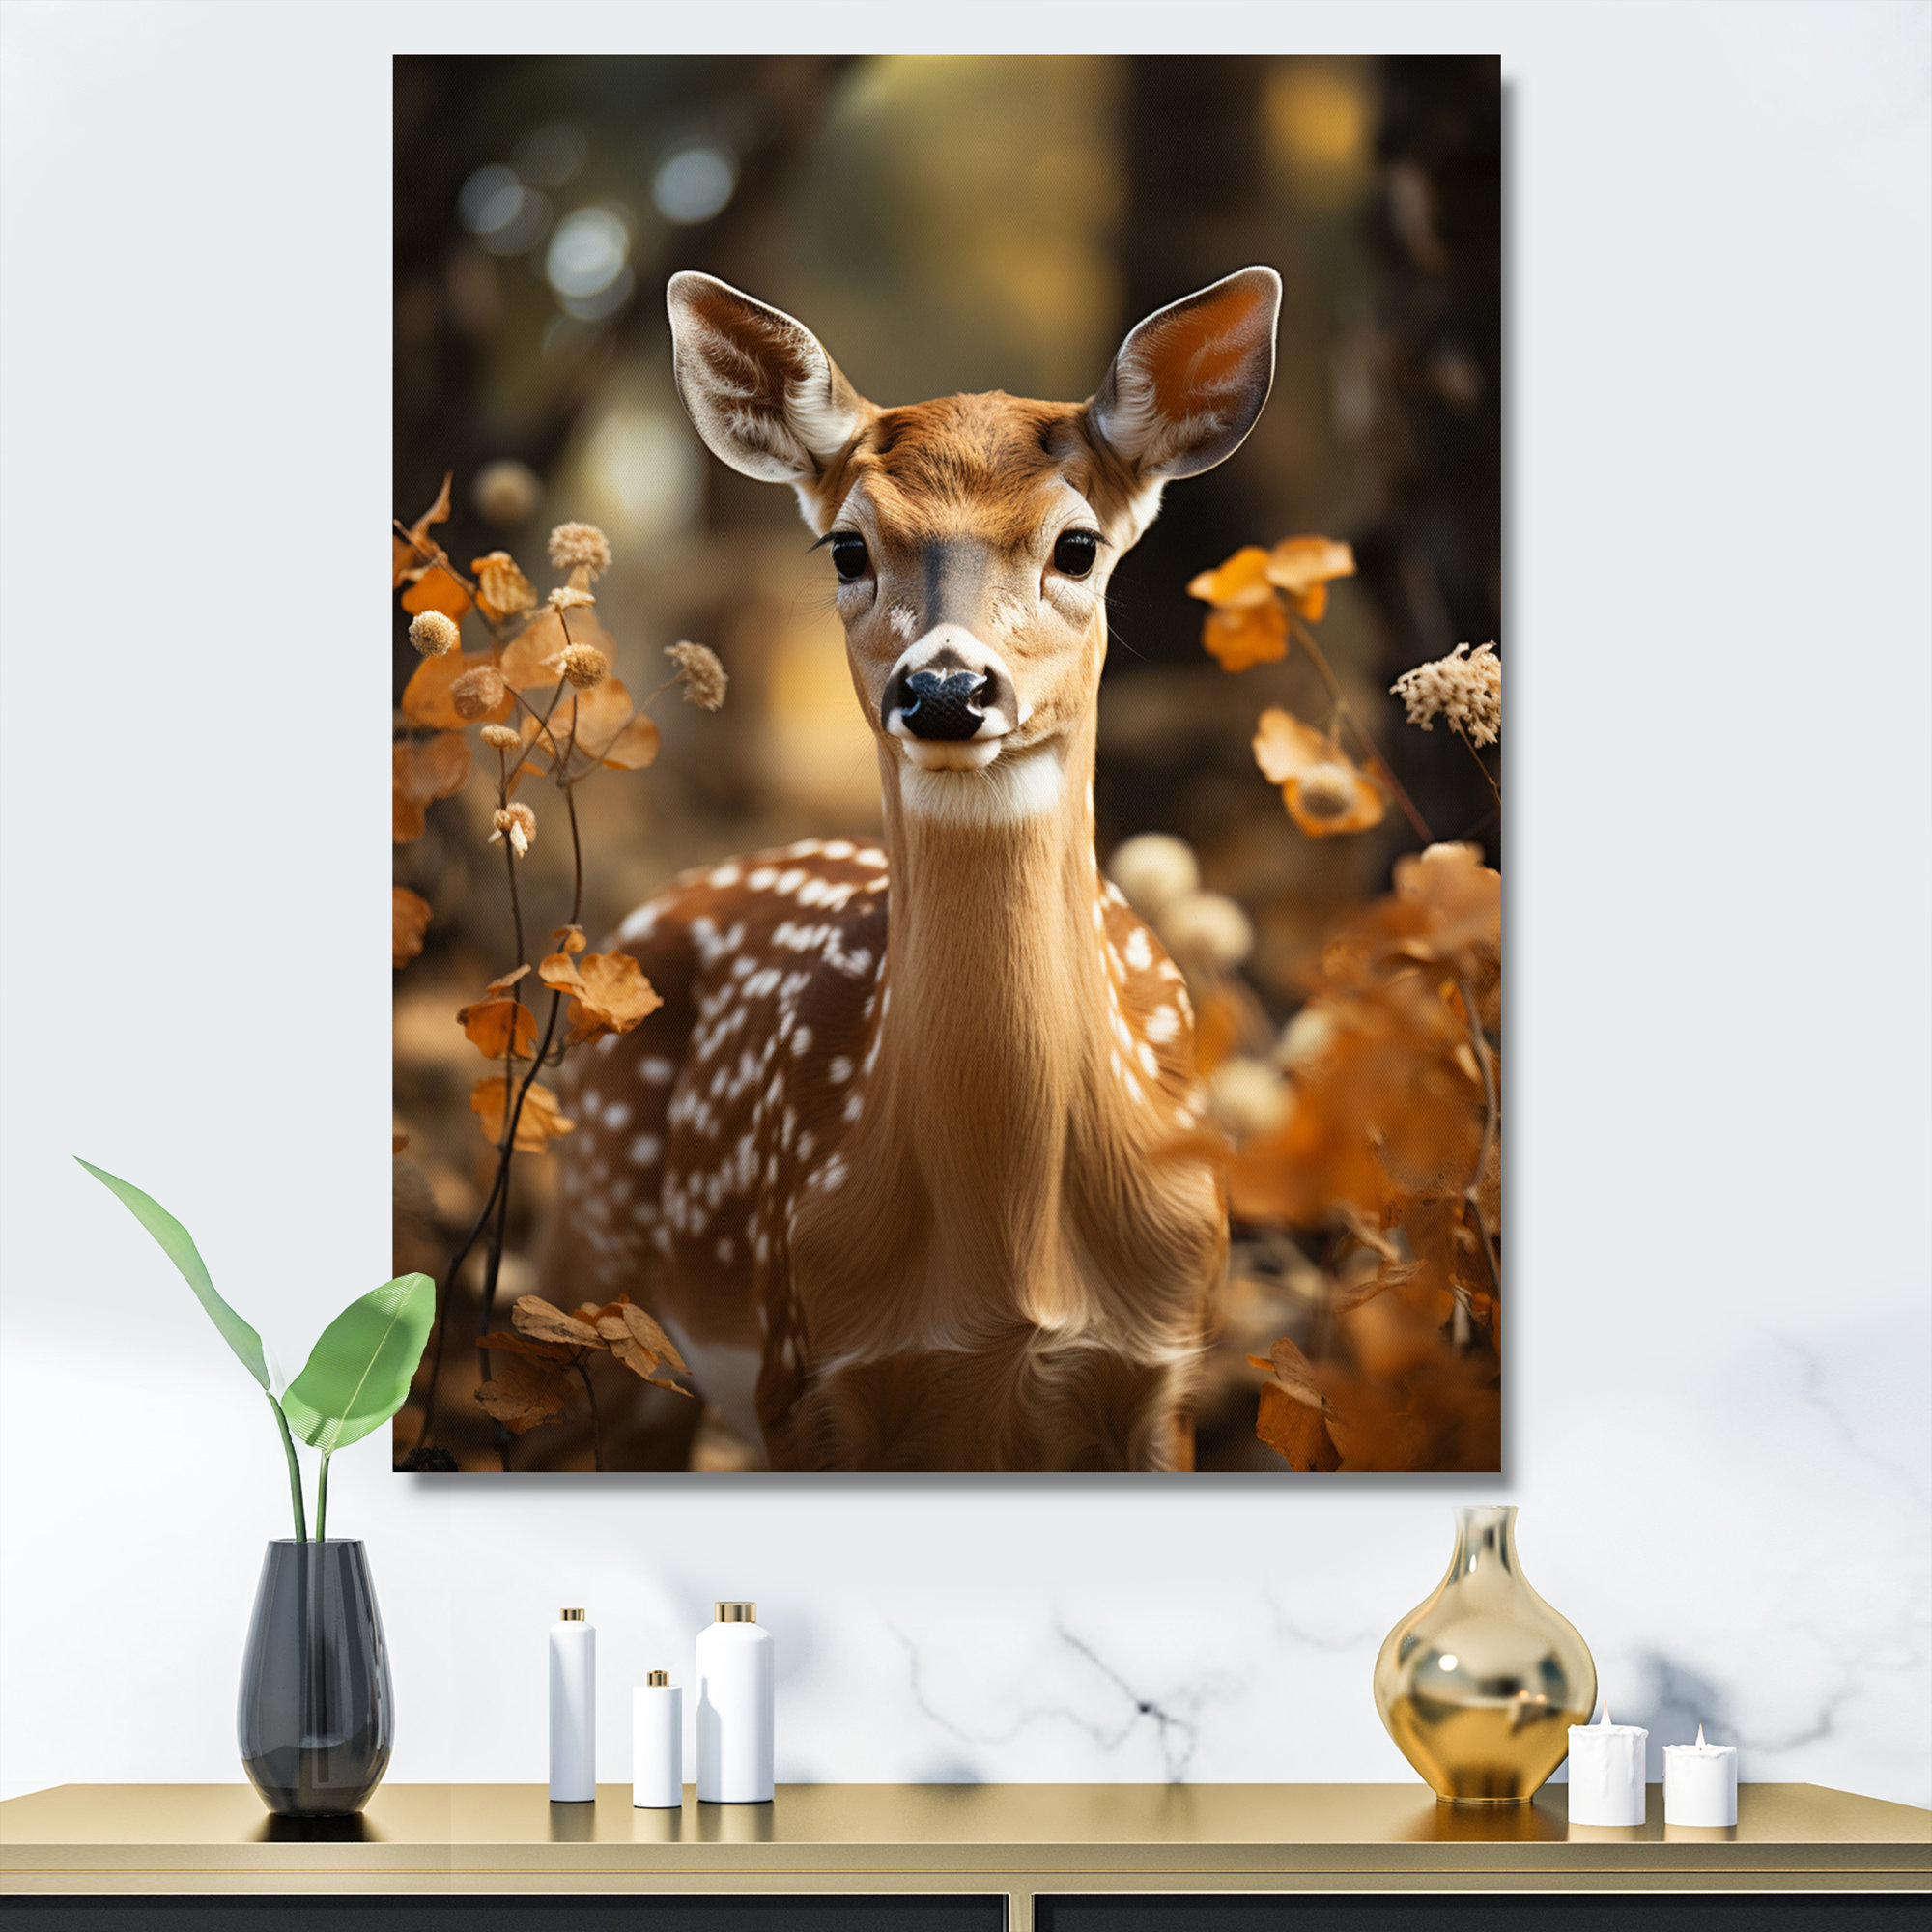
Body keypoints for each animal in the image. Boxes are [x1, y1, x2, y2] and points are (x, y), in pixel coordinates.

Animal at [538, 265, 1282, 1471]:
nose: (941, 690)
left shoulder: (1168, 1367)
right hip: (591, 1266)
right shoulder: (804, 1365)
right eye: (847, 547)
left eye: (1077, 545)